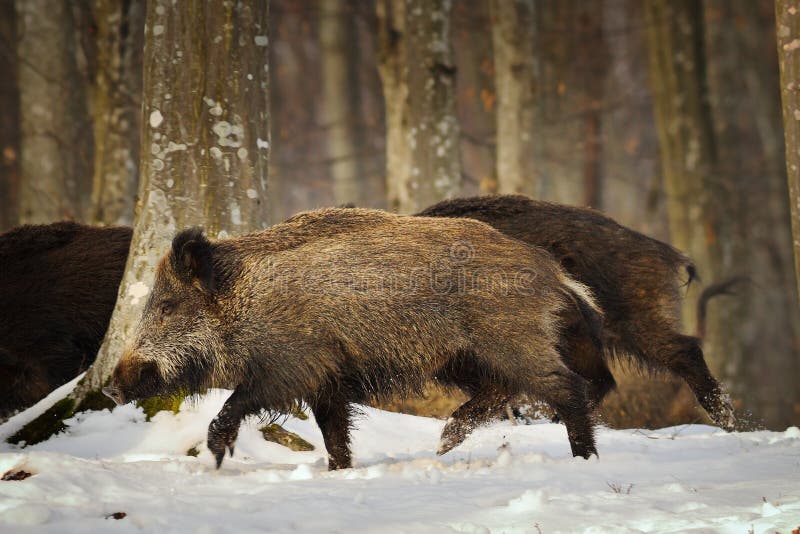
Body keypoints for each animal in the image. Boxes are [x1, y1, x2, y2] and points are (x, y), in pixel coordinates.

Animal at [104, 208, 605, 469]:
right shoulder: (327, 379)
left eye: (168, 307)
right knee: (502, 390)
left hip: (507, 339)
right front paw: (339, 471)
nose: (111, 386)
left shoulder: (294, 365)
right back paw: (444, 442)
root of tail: (550, 269)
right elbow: (332, 430)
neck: (244, 302)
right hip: (464, 357)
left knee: (564, 386)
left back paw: (584, 459)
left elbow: (237, 402)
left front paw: (218, 455)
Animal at [417, 194, 736, 432]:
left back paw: (728, 420)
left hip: (627, 315)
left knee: (682, 349)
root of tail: (664, 251)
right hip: (583, 336)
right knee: (603, 378)